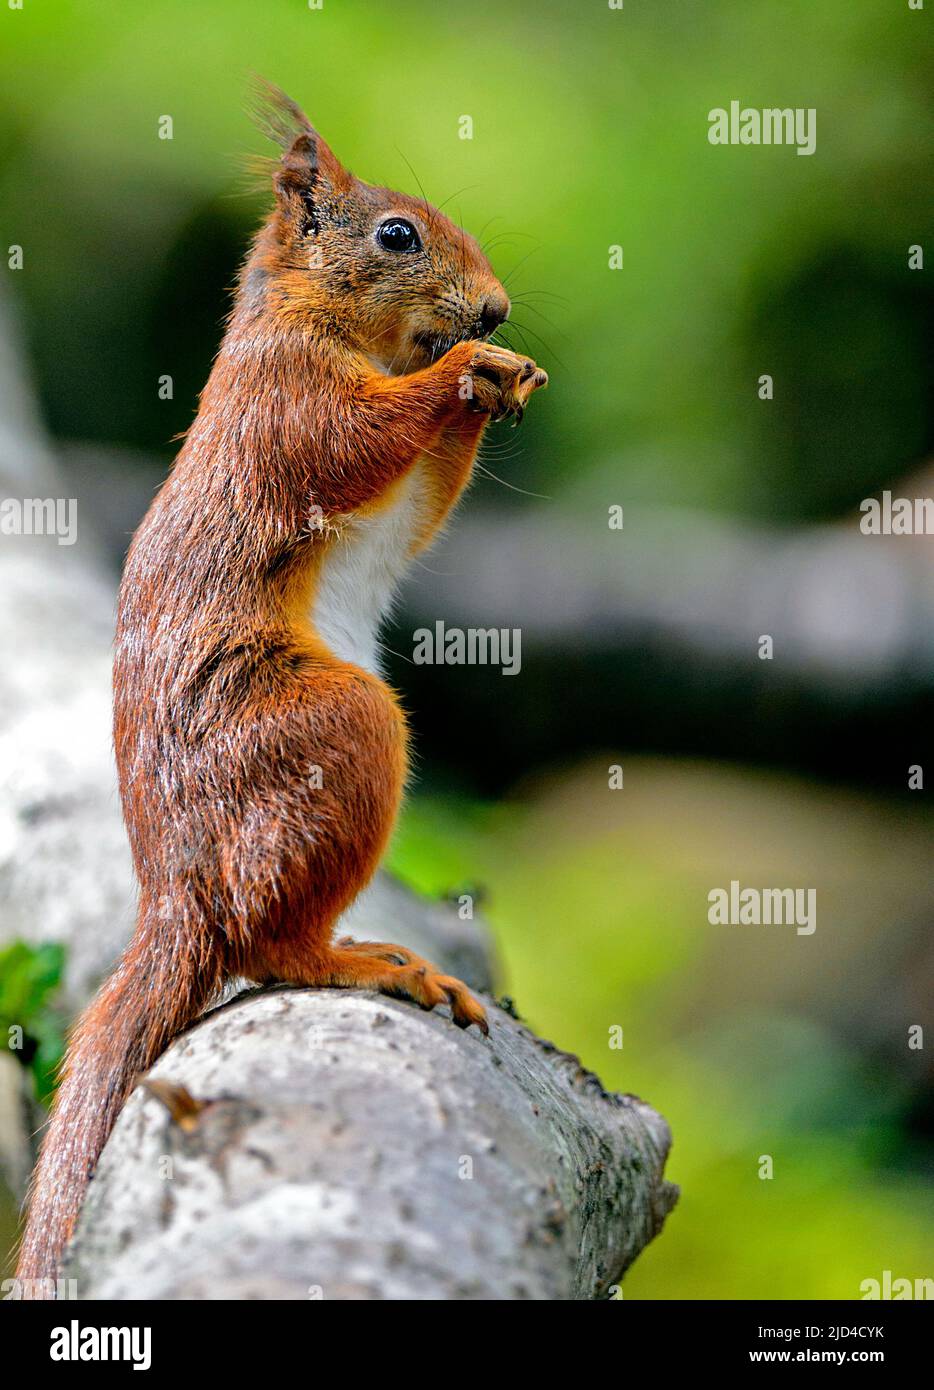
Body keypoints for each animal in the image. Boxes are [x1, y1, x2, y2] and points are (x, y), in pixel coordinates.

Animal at [15, 83, 547, 1292]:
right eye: (396, 235)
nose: (494, 309)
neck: (328, 325)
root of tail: (175, 895)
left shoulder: (393, 488)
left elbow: (421, 503)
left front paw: (500, 379)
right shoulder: (285, 403)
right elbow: (357, 439)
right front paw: (463, 370)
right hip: (327, 732)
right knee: (269, 945)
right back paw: (360, 959)